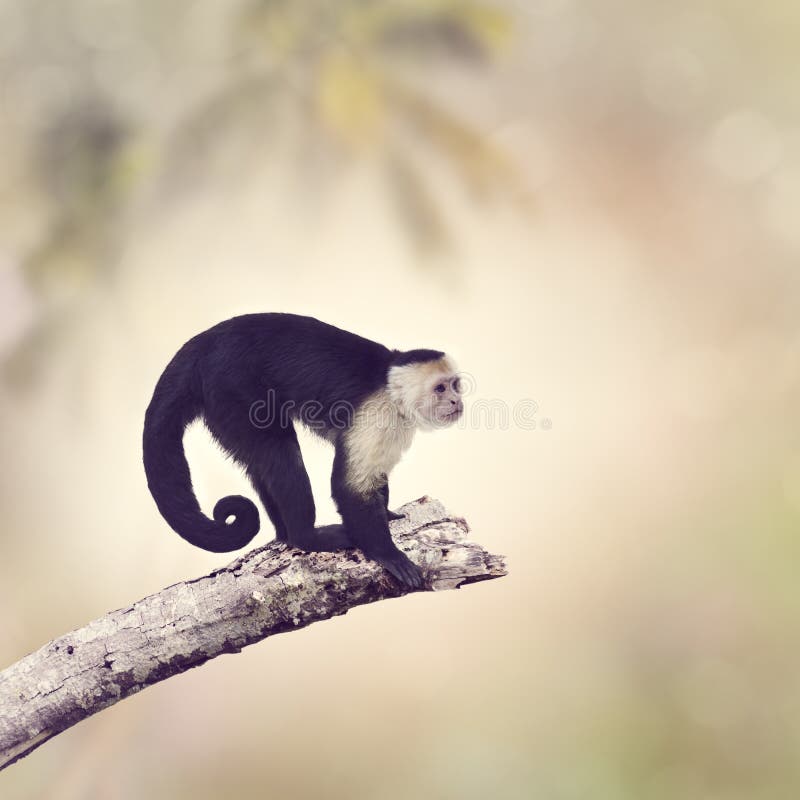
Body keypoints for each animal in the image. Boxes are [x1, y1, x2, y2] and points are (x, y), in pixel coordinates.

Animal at [142, 313, 463, 589]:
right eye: (440, 389)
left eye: (456, 385)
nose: (456, 402)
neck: (391, 389)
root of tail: (204, 343)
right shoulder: (378, 414)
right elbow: (350, 487)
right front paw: (386, 552)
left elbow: (375, 477)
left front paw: (385, 512)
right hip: (232, 387)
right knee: (279, 449)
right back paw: (305, 537)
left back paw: (285, 535)